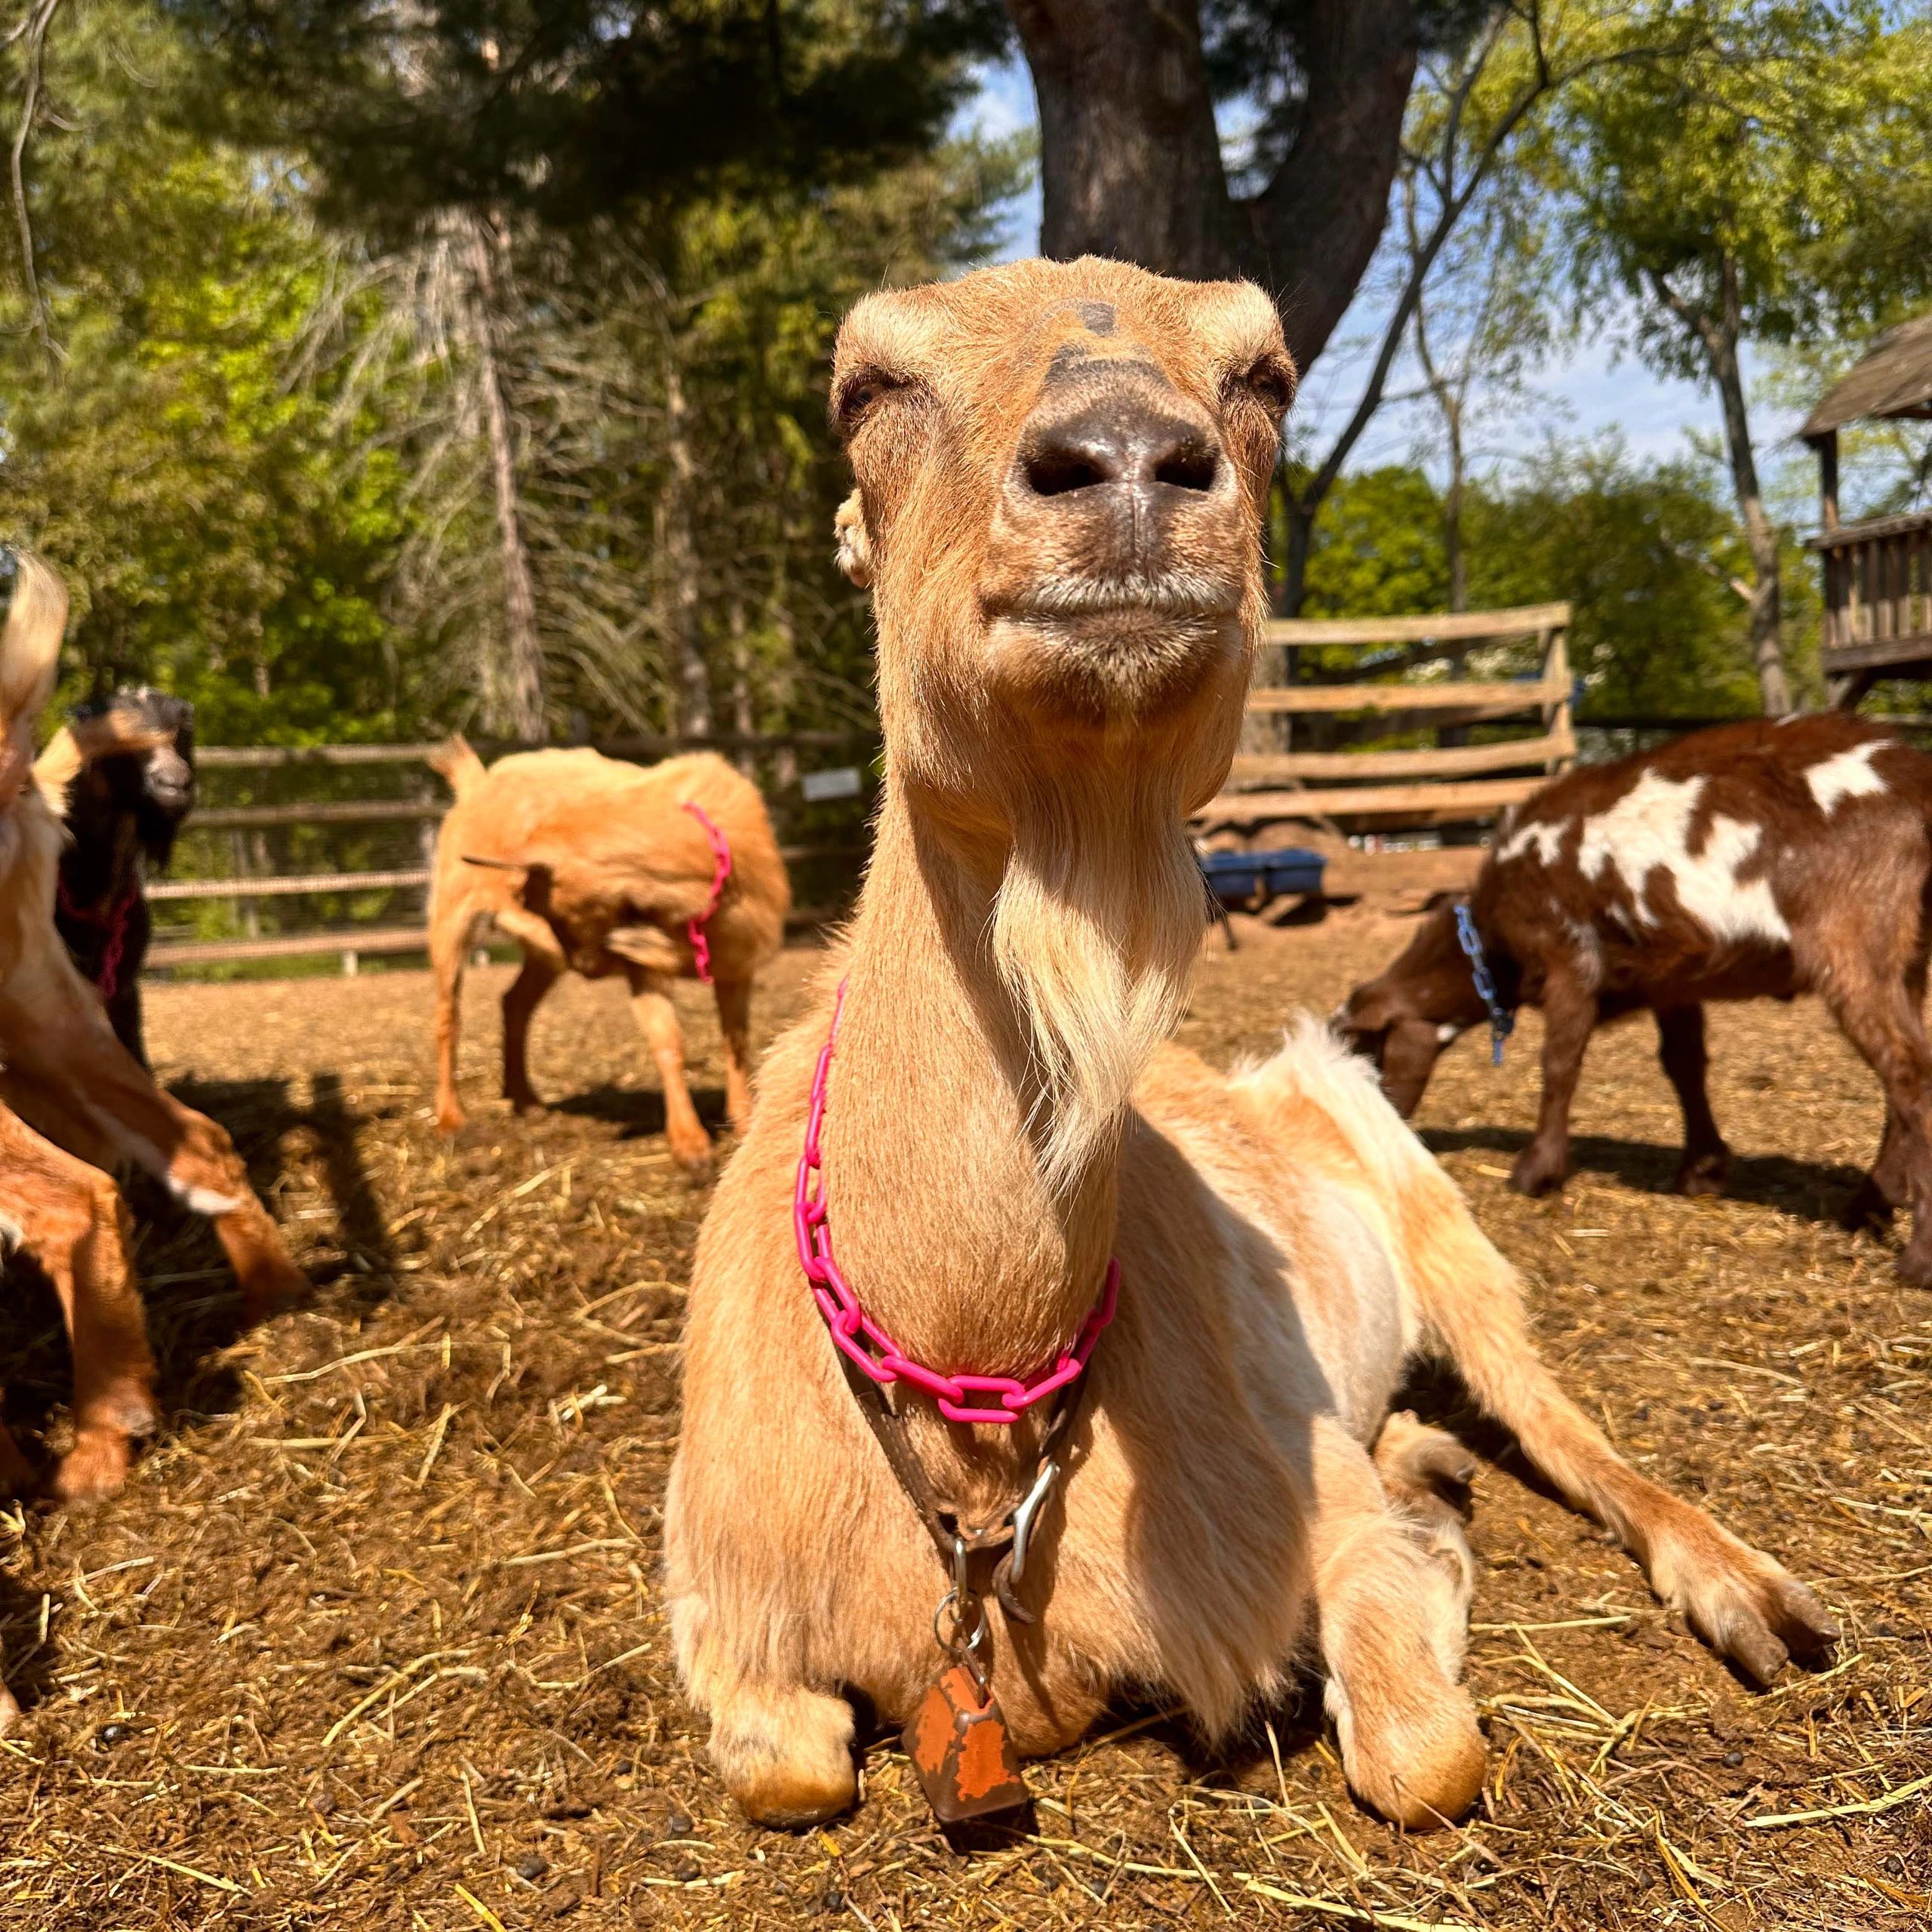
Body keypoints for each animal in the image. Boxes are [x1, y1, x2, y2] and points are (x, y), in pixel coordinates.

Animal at [426, 738, 789, 1166]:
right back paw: (451, 1118)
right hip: (451, 919)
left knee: (515, 1003)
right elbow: (668, 1042)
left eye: (556, 911)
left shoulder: (735, 967)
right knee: (448, 1018)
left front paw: (745, 1121)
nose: (587, 968)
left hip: (542, 957)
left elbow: (736, 1041)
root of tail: (474, 783)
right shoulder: (644, 971)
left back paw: (526, 1100)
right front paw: (690, 1145)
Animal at [663, 260, 1834, 1833]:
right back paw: (1431, 1457)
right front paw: (1431, 1510)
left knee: (1567, 1426)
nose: (1124, 462)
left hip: (1452, 1239)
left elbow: (1426, 1753)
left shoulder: (1295, 1501)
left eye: (1266, 370)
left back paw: (1748, 1596)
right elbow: (787, 1771)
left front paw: (1439, 1567)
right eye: (865, 386)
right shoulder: (729, 1605)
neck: (970, 1363)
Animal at [1340, 716, 1932, 1286]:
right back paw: (1868, 1206)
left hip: (1853, 938)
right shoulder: (1674, 977)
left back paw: (1917, 1259)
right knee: (1899, 1077)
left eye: (1367, 1055)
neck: (1491, 943)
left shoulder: (1568, 956)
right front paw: (1702, 1170)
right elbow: (1684, 1065)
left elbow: (1560, 1064)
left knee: (1910, 1074)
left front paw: (1536, 1172)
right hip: (1907, 961)